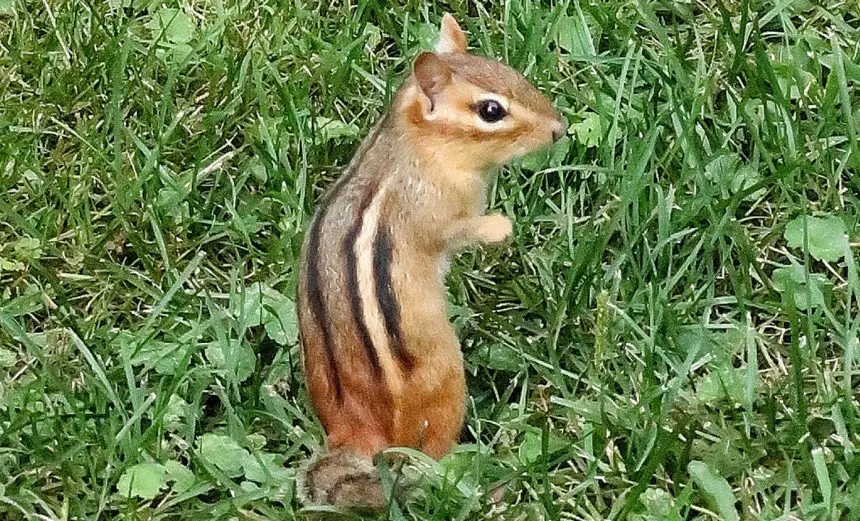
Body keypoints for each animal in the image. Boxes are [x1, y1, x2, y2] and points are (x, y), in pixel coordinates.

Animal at [296, 13, 565, 509]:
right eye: (491, 111)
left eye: (512, 73)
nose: (559, 129)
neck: (419, 145)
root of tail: (352, 429)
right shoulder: (433, 209)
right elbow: (455, 232)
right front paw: (499, 227)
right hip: (445, 385)